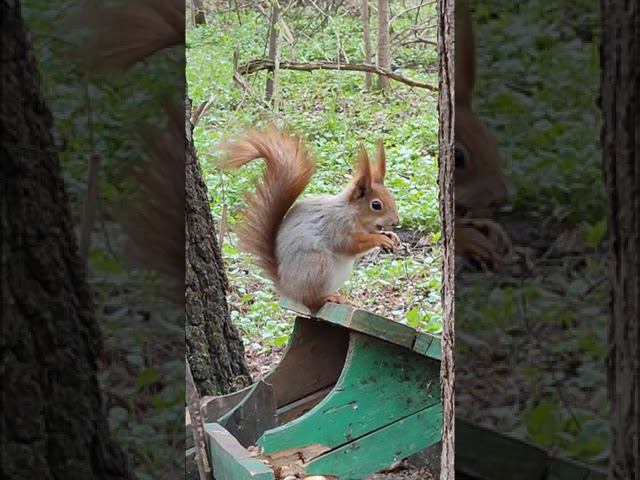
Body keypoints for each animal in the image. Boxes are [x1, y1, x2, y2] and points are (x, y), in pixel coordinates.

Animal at [219, 128, 401, 310]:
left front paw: (391, 237)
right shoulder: (336, 225)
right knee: (310, 302)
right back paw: (330, 298)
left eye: (392, 197)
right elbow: (350, 244)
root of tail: (287, 289)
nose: (395, 221)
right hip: (317, 265)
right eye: (376, 205)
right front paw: (380, 239)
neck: (353, 214)